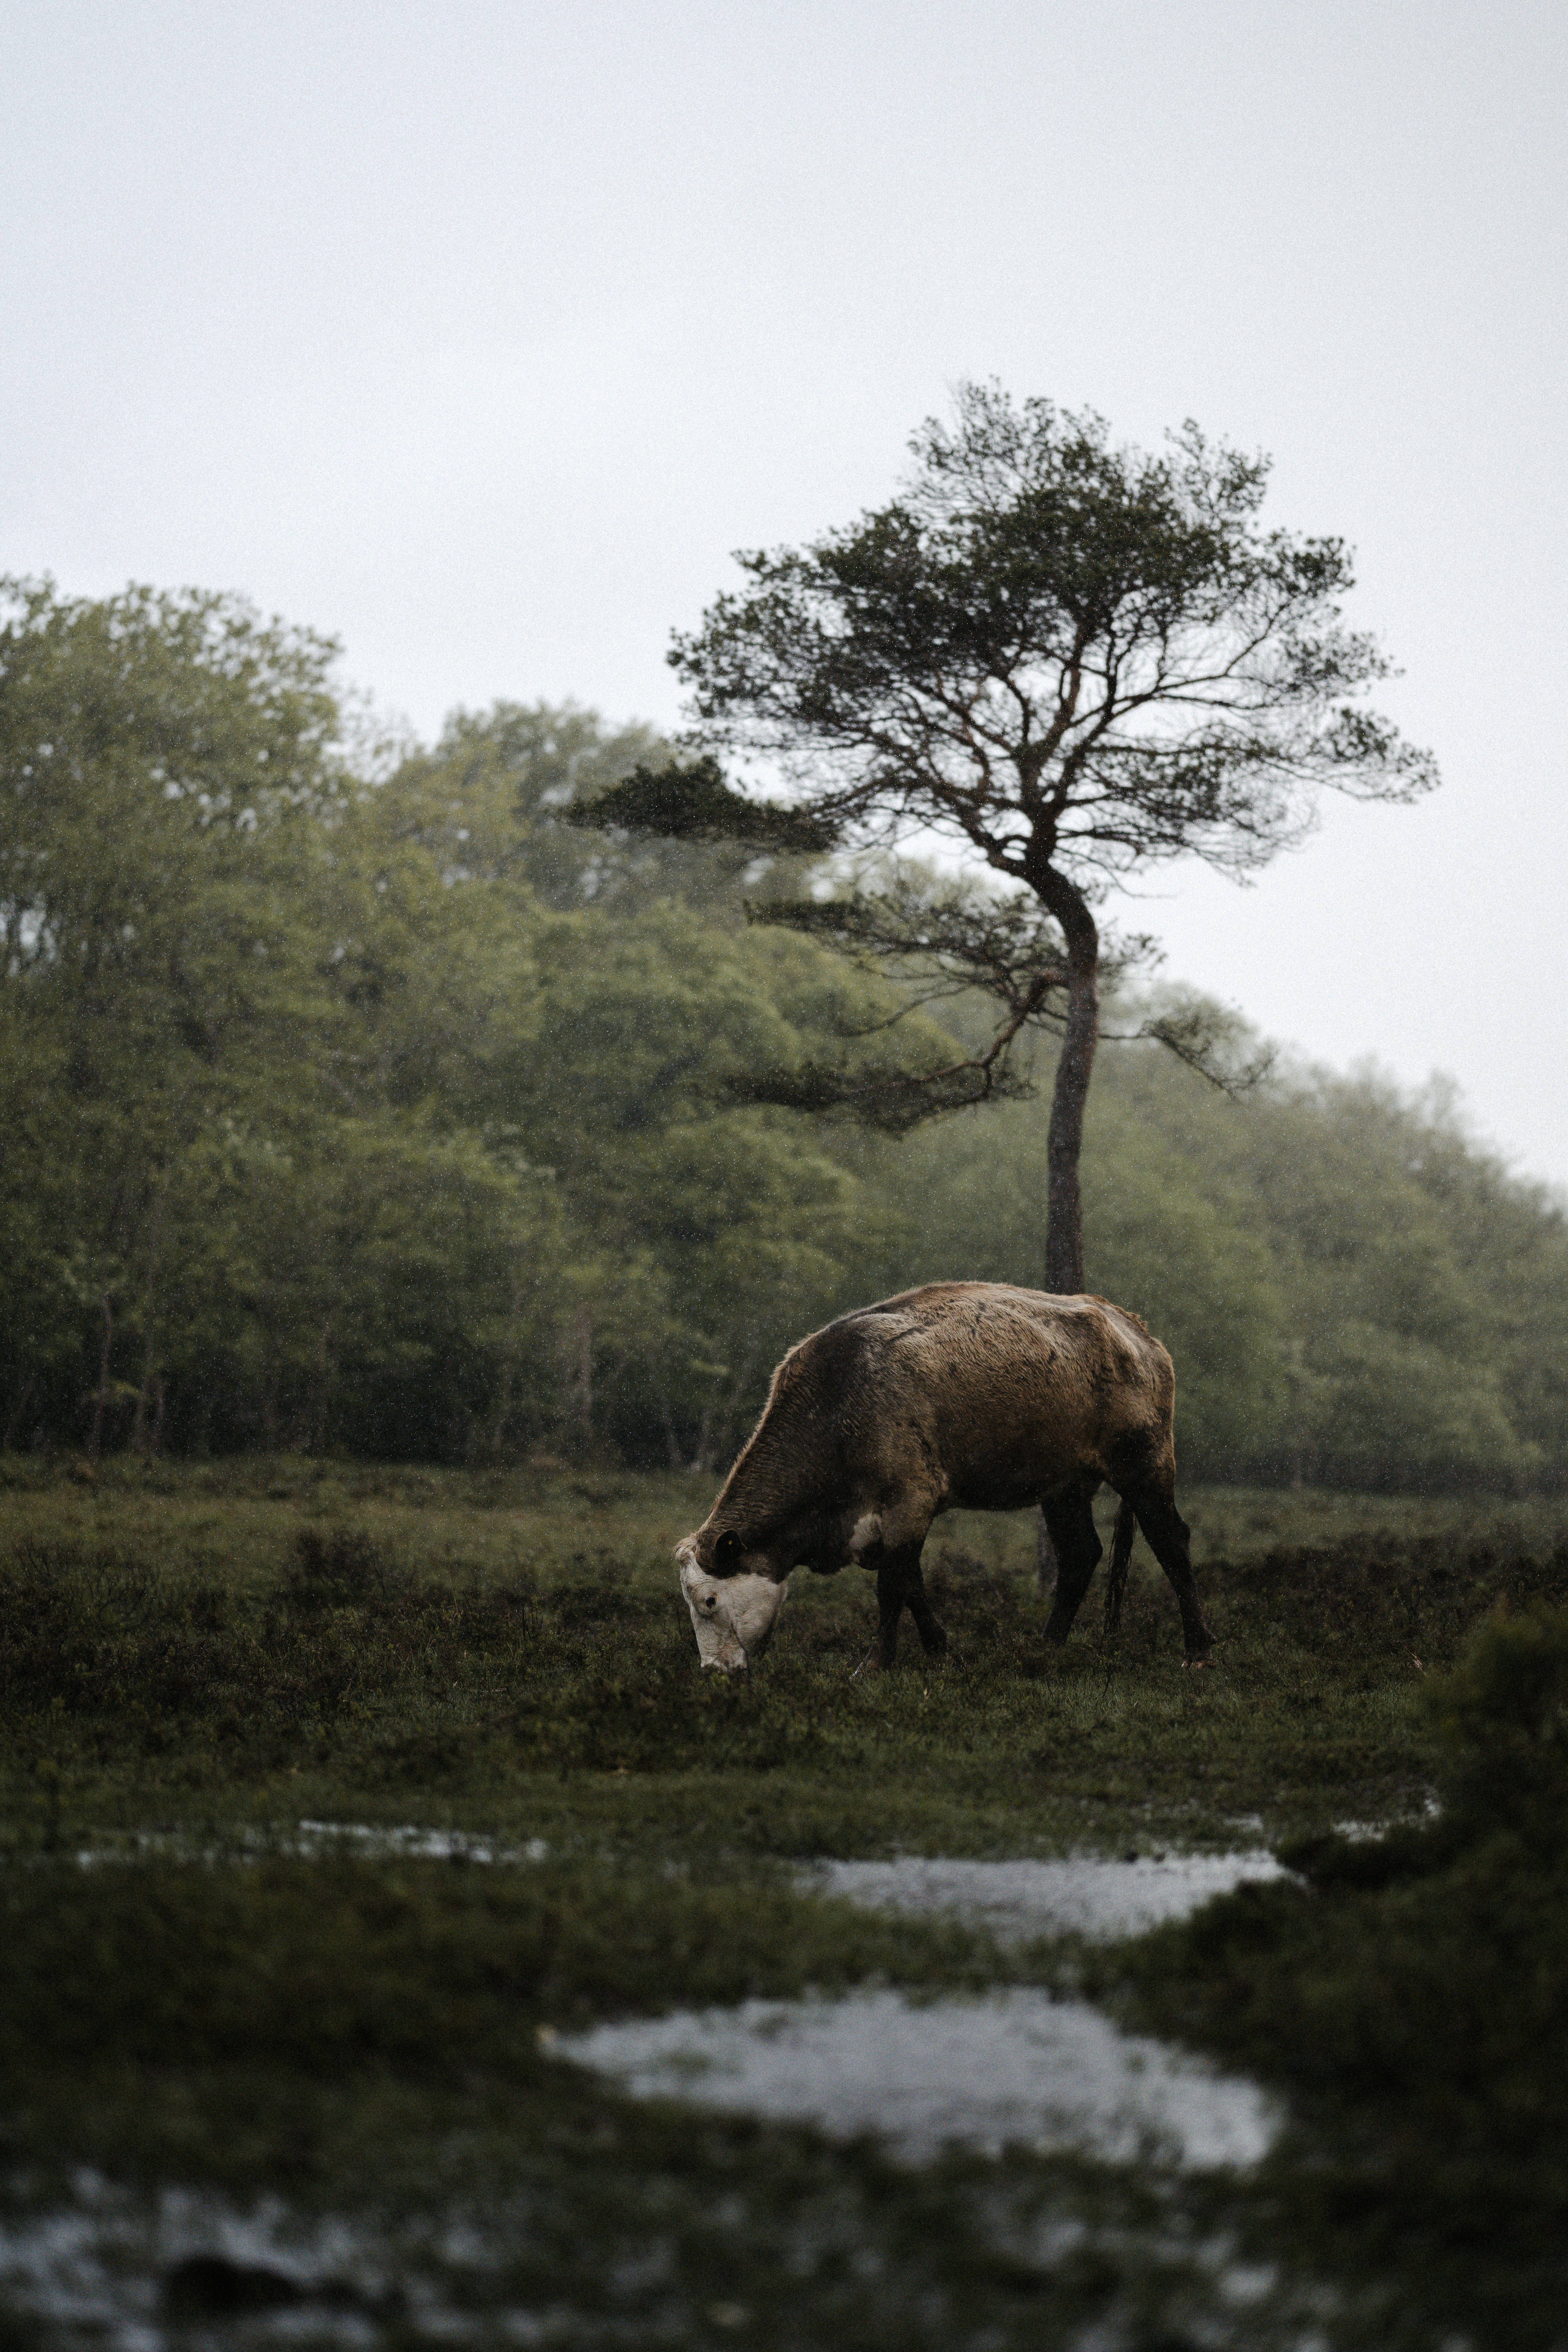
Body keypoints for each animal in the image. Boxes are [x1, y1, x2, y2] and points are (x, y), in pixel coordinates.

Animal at [676, 1282, 1212, 1673]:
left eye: (709, 1601)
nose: (713, 1671)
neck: (838, 1405)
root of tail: (1134, 1330)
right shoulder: (887, 1521)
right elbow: (911, 1582)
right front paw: (941, 1651)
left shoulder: (909, 1499)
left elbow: (893, 1585)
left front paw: (875, 1665)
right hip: (1064, 1485)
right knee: (1080, 1554)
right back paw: (1046, 1646)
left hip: (1143, 1462)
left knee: (1170, 1541)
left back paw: (1198, 1649)